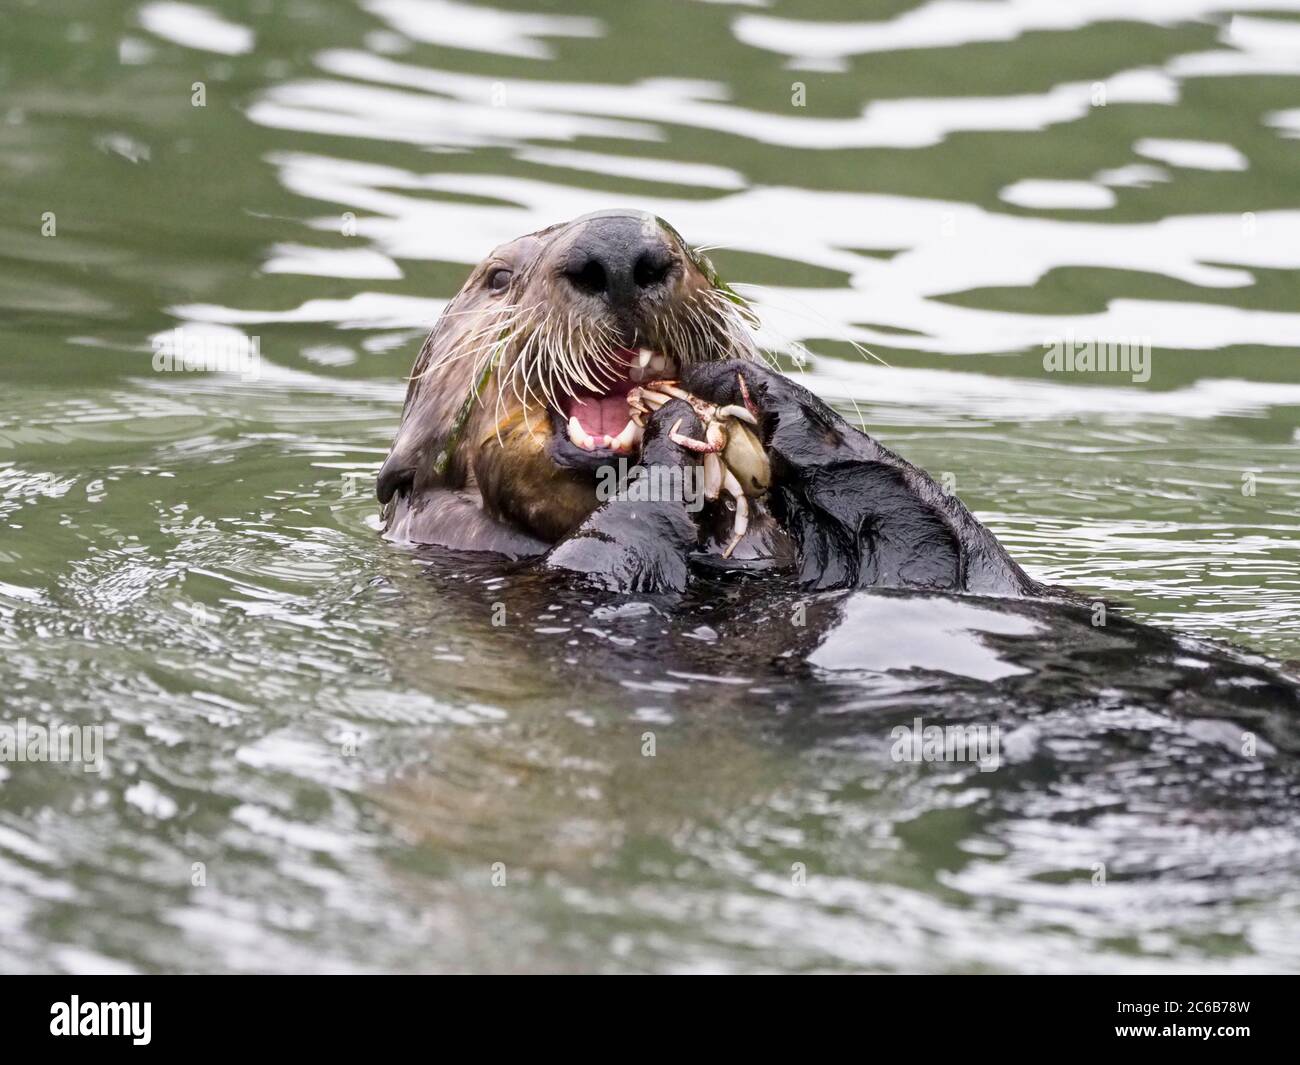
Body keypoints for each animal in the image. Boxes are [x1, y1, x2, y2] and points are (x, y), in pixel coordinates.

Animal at [377, 210, 1042, 597]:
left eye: (702, 258)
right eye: (496, 278)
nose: (617, 252)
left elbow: (949, 562)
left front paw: (771, 399)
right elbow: (606, 560)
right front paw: (673, 440)